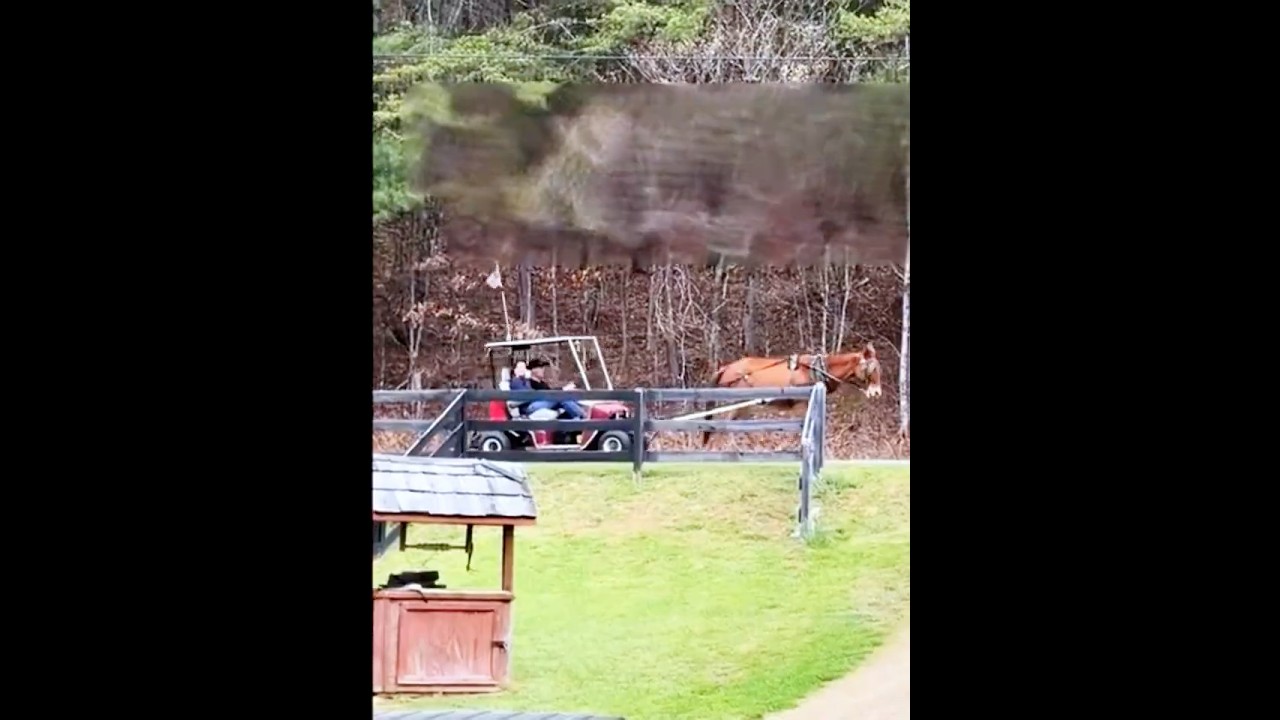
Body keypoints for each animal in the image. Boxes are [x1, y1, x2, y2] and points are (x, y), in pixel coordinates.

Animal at [699, 343, 883, 448]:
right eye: (872, 368)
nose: (876, 392)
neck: (817, 370)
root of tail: (726, 368)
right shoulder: (801, 406)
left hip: (747, 406)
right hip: (737, 403)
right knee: (724, 426)